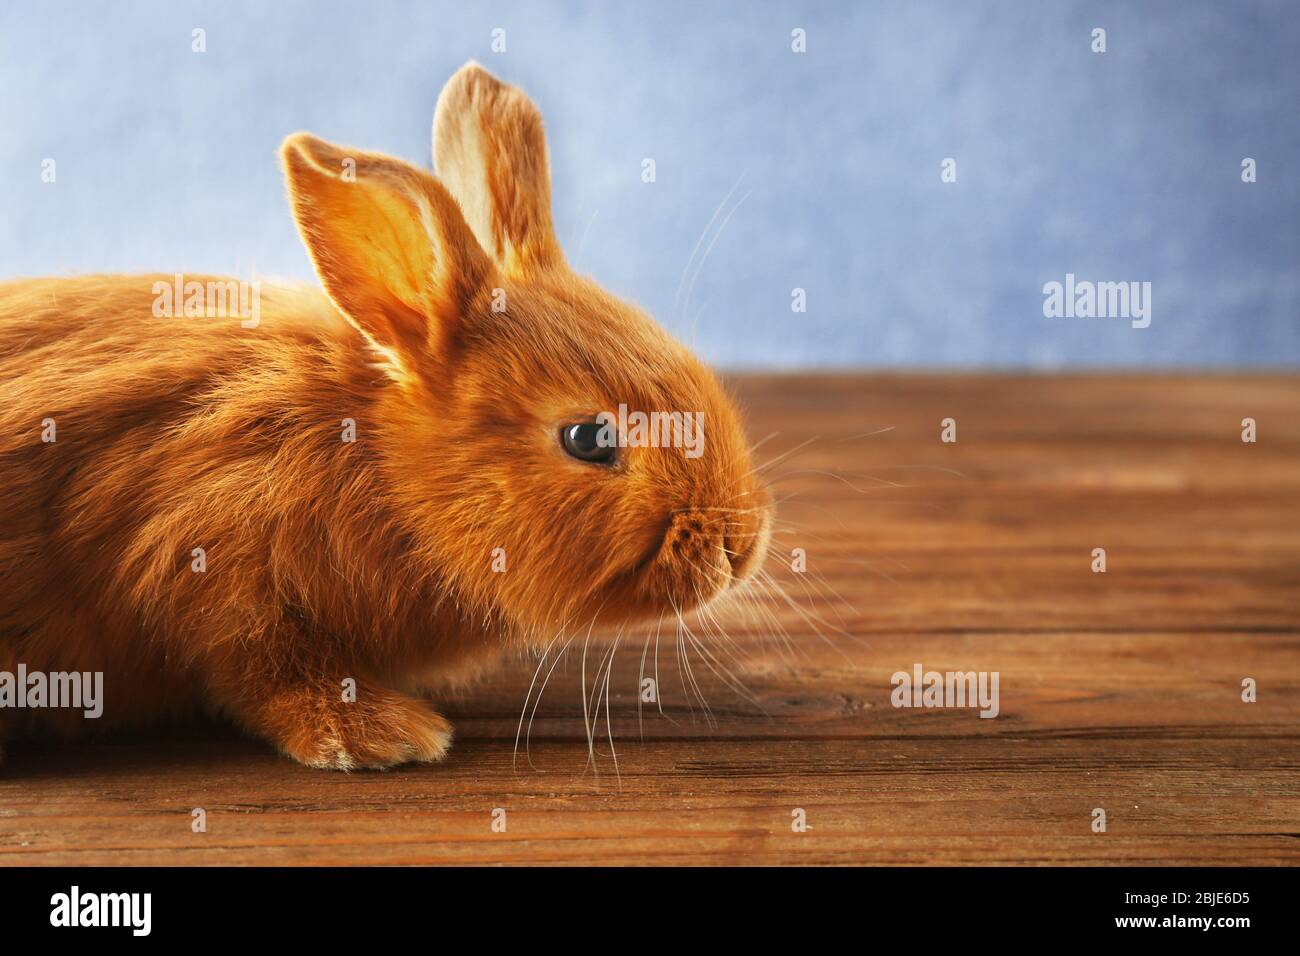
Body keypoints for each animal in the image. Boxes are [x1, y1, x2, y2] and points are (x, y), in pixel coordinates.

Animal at [0, 62, 773, 770]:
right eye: (589, 437)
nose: (740, 544)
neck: (376, 465)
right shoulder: (211, 565)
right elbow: (270, 671)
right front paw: (381, 736)